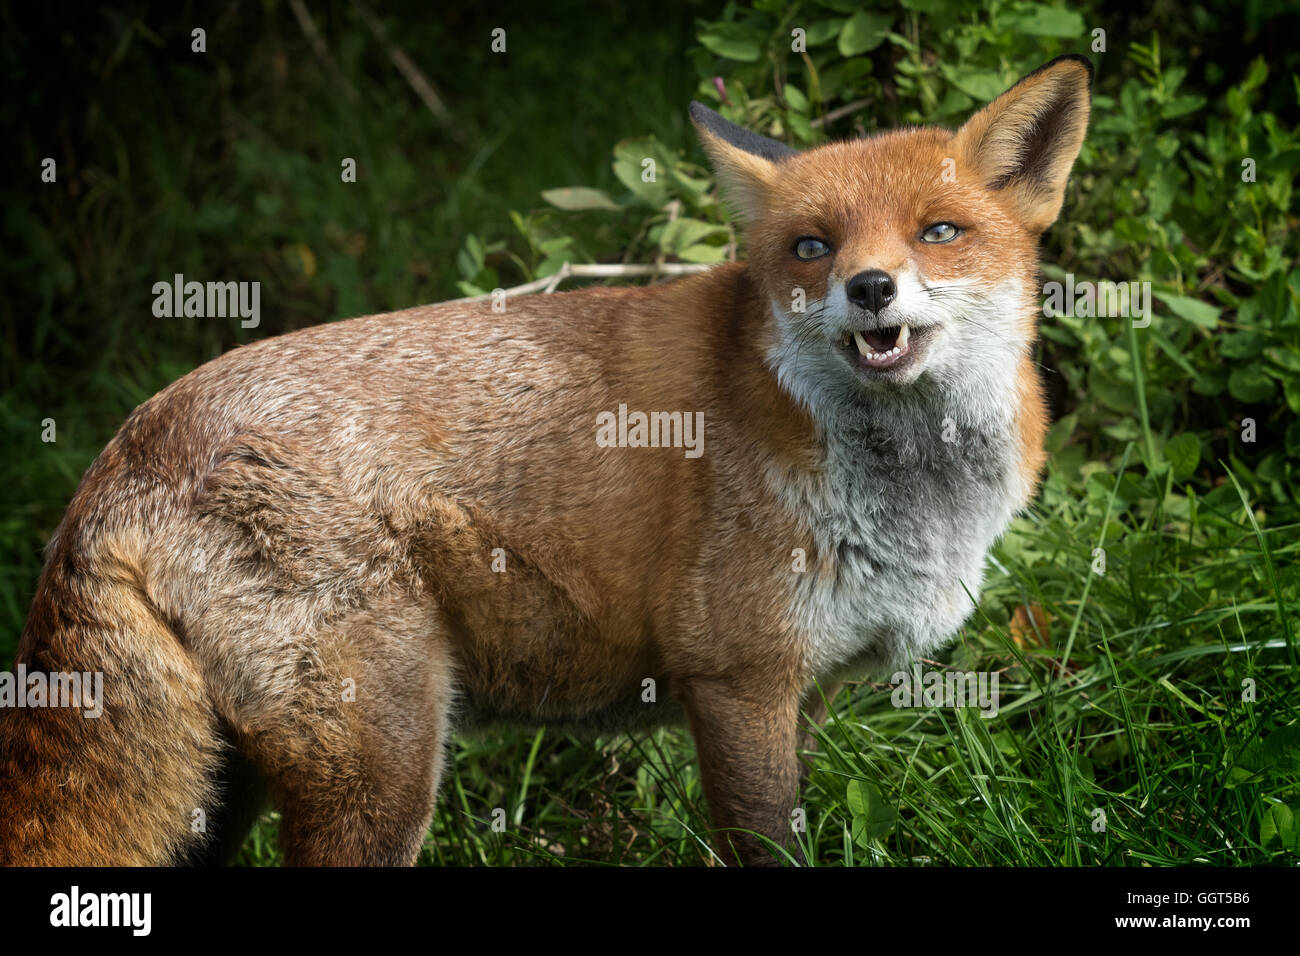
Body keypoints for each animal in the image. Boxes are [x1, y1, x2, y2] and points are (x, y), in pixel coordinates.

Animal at [0, 55, 1091, 867]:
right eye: (812, 247)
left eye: (939, 232)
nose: (870, 288)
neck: (901, 486)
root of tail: (122, 451)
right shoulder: (735, 678)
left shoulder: (804, 689)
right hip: (381, 772)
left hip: (221, 792)